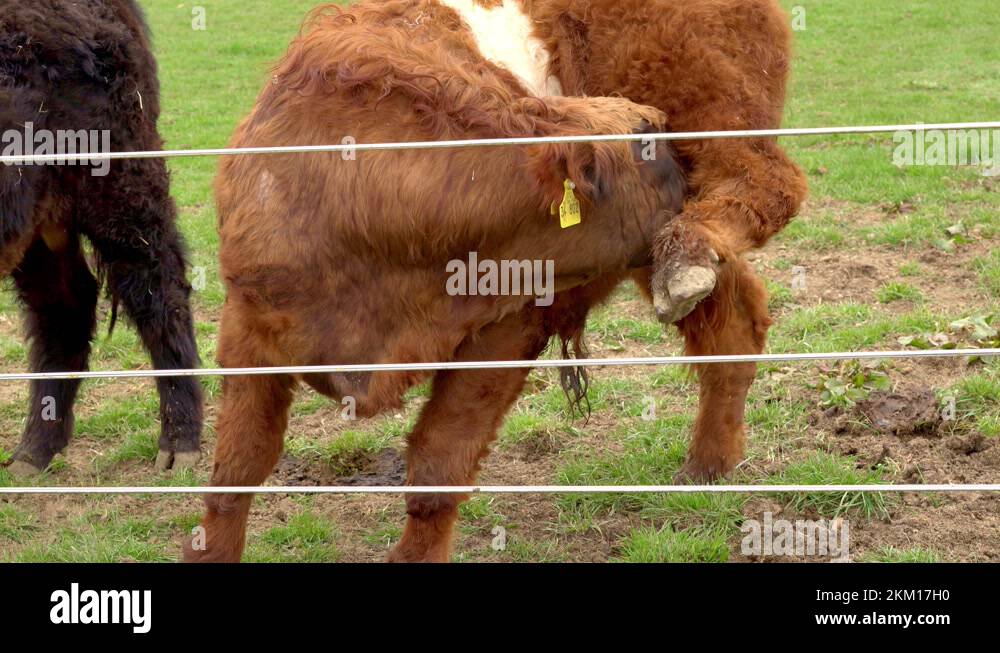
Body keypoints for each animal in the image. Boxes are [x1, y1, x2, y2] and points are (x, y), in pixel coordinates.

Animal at [0, 0, 203, 474]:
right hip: (37, 229)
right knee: (64, 307)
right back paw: (33, 452)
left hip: (121, 192)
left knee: (158, 290)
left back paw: (179, 444)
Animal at [184, 0, 690, 562]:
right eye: (648, 139)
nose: (692, 170)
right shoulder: (248, 330)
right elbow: (238, 470)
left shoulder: (504, 328)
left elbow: (439, 465)